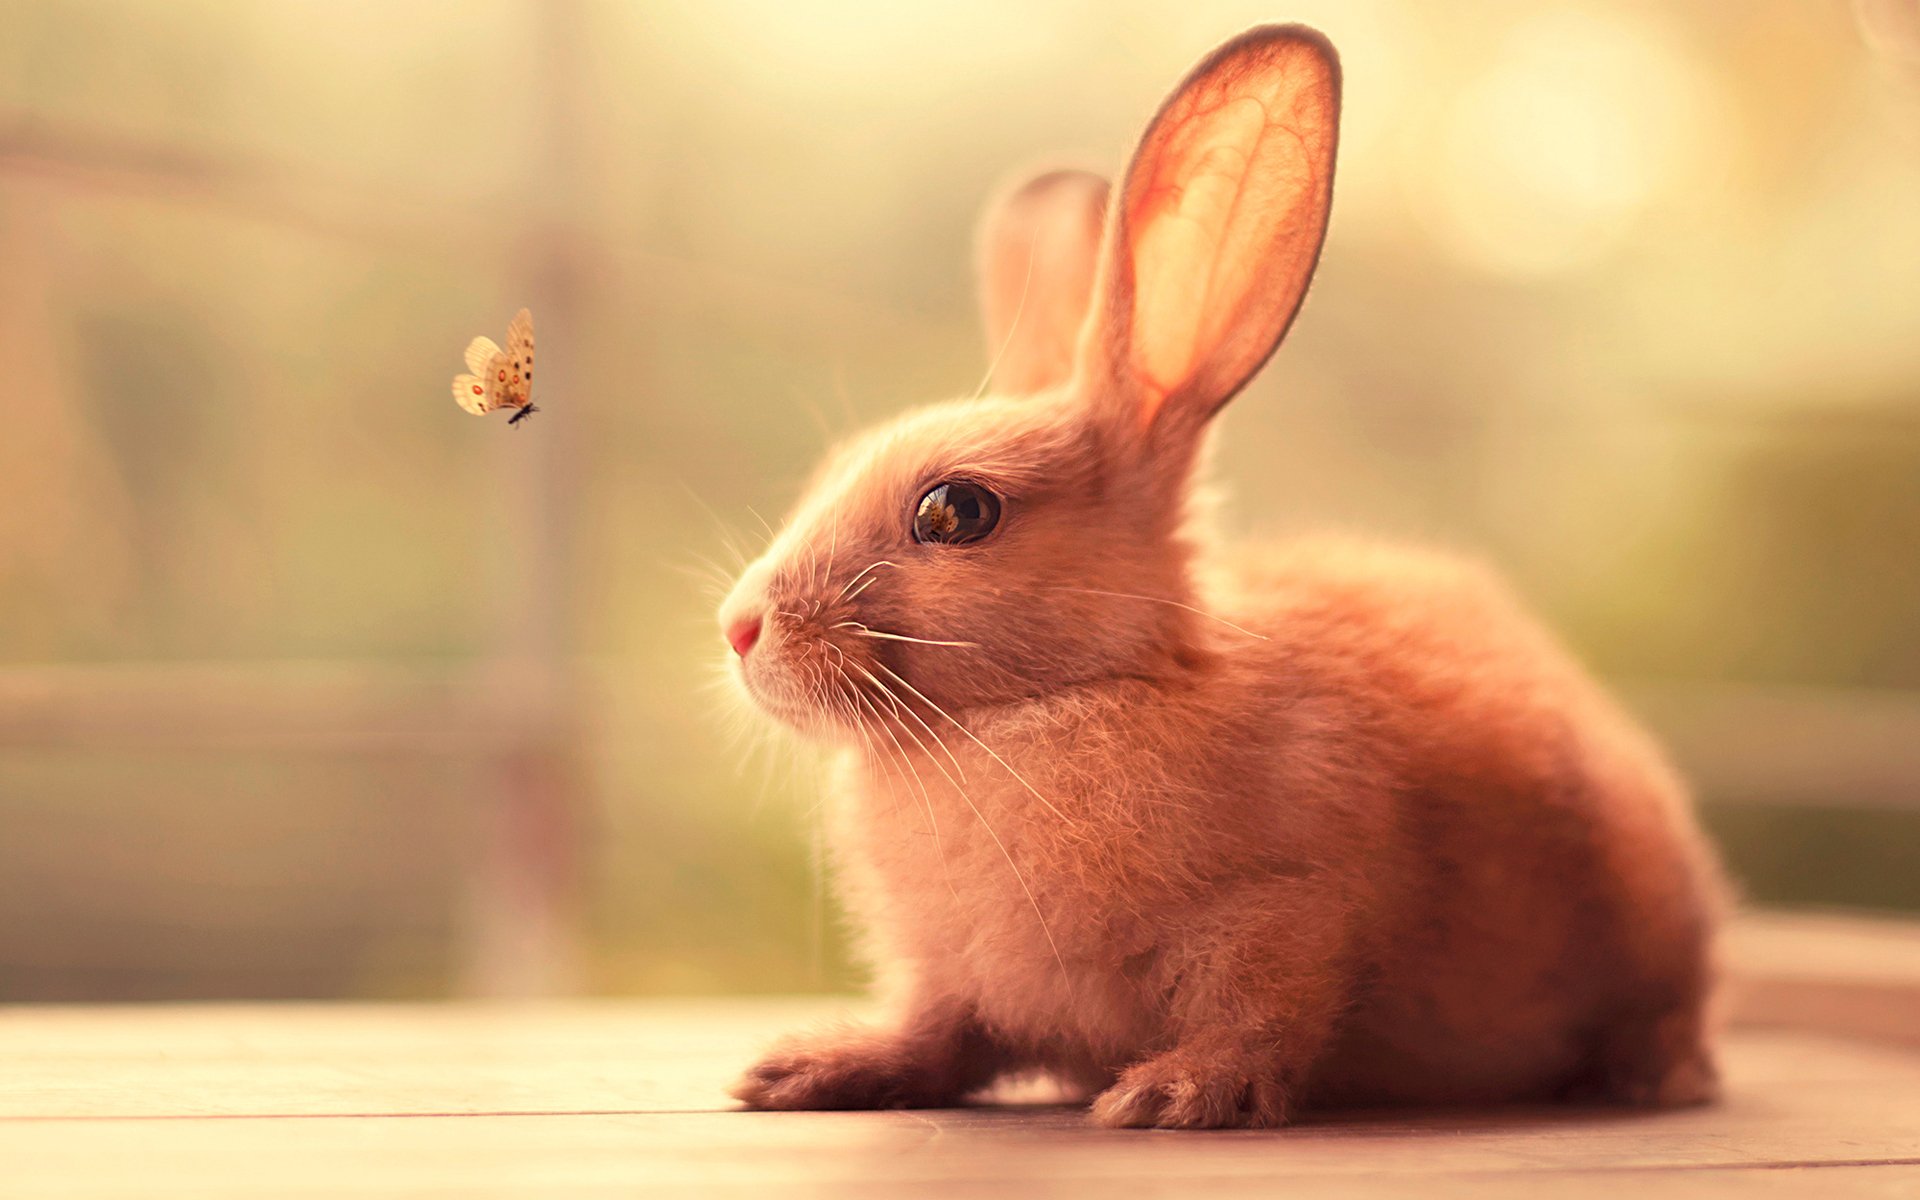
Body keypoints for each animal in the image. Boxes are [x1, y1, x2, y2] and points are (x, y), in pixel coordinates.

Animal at [715, 24, 1727, 1129]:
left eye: (956, 511)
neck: (1050, 703)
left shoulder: (1287, 917)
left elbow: (1260, 1019)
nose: (740, 628)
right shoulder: (952, 982)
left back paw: (1655, 1077)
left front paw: (1170, 1095)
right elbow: (936, 1036)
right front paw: (808, 1070)